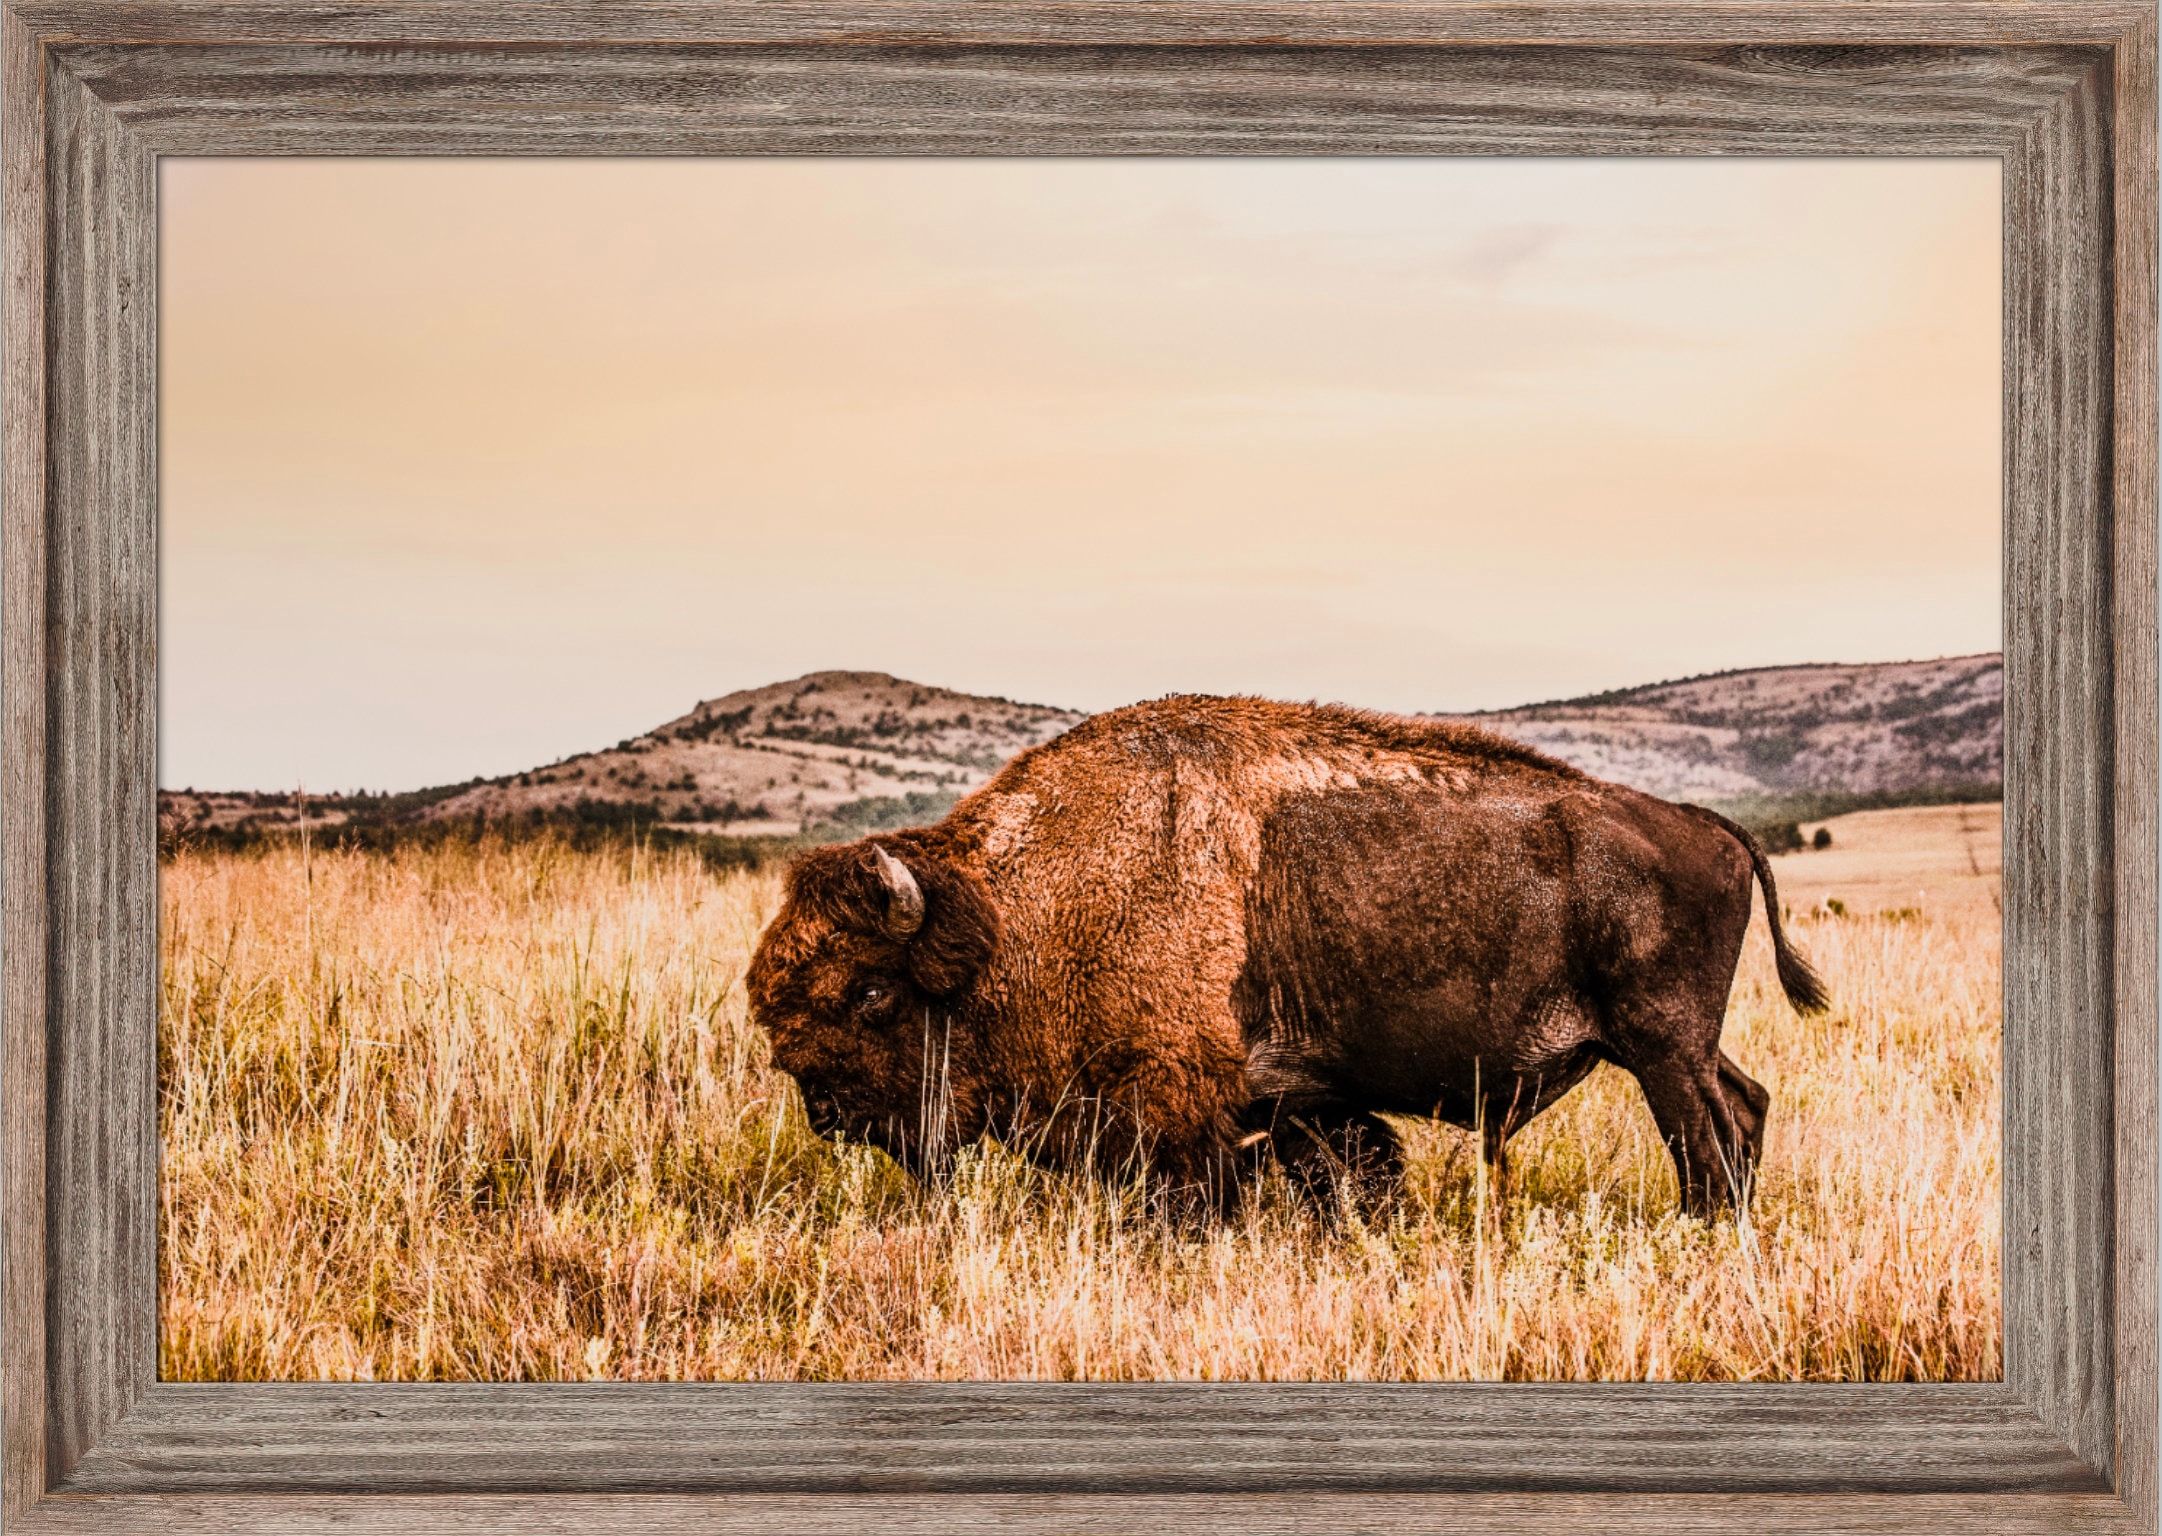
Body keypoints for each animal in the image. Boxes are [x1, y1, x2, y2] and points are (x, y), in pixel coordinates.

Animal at [746, 695, 1828, 1218]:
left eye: (871, 991)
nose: (820, 1105)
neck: (1018, 913)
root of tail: (1705, 823)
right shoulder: (1296, 1102)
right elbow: (1347, 1173)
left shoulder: (1176, 1111)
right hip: (1671, 1045)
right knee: (1747, 1104)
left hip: (1660, 1049)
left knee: (1708, 1142)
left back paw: (1702, 1231)